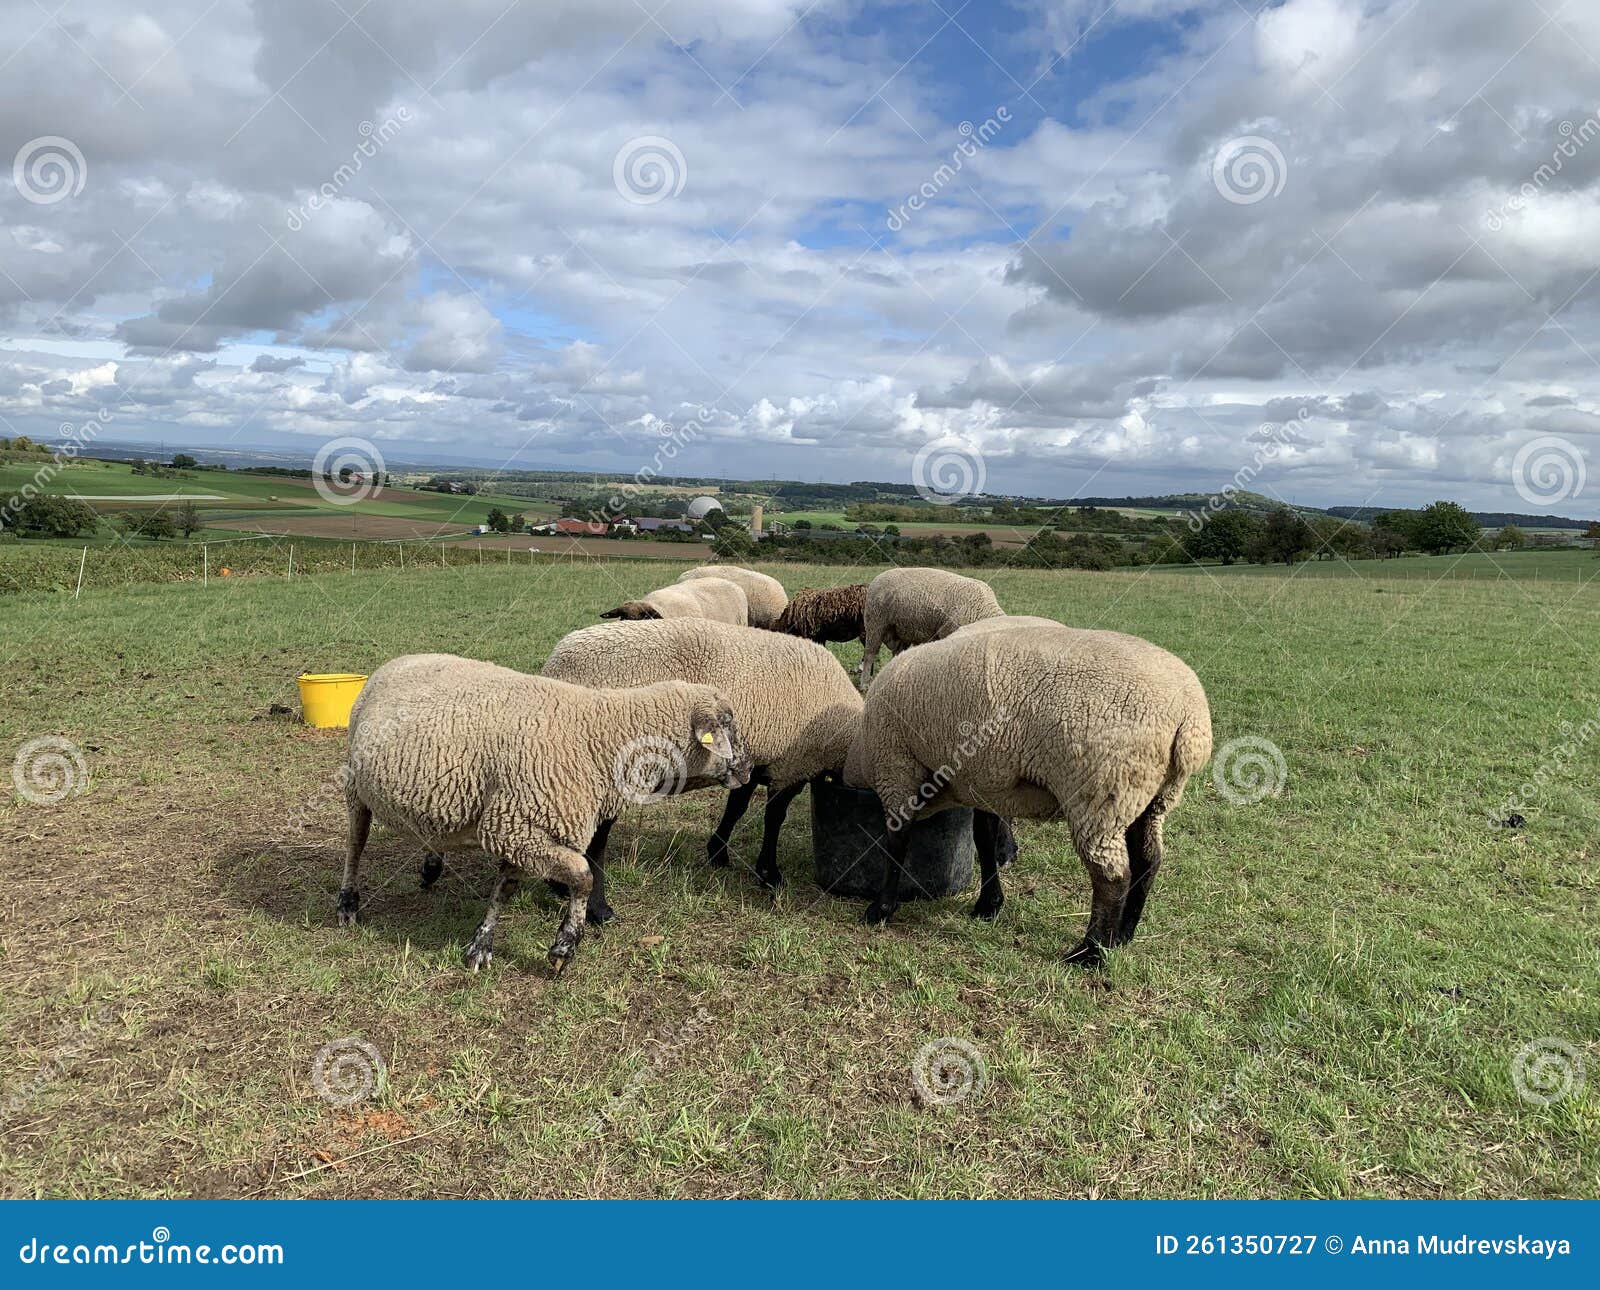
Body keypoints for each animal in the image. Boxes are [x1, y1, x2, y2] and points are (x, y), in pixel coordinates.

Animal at [338, 652, 751, 973]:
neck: (603, 735)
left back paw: (431, 863)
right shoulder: (515, 826)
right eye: (727, 723)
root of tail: (399, 660)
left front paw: (481, 946)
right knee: (355, 844)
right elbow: (583, 876)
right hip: (355, 787)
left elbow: (505, 887)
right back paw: (347, 904)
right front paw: (564, 946)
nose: (748, 768)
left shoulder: (519, 823)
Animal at [542, 618, 862, 892]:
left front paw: (718, 853)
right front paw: (769, 873)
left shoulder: (752, 764)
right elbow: (774, 819)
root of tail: (554, 664)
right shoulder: (792, 766)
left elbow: (736, 808)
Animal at [845, 616, 1211, 967]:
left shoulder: (897, 766)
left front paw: (881, 909)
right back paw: (1122, 936)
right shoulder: (984, 783)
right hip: (1148, 795)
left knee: (1113, 877)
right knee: (1148, 860)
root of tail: (1189, 717)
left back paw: (1090, 953)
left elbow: (897, 842)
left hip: (1101, 791)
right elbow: (985, 838)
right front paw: (988, 905)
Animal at [859, 567, 1004, 686]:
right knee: (870, 654)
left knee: (897, 653)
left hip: (902, 630)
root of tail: (879, 576)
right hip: (875, 623)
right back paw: (864, 684)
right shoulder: (948, 632)